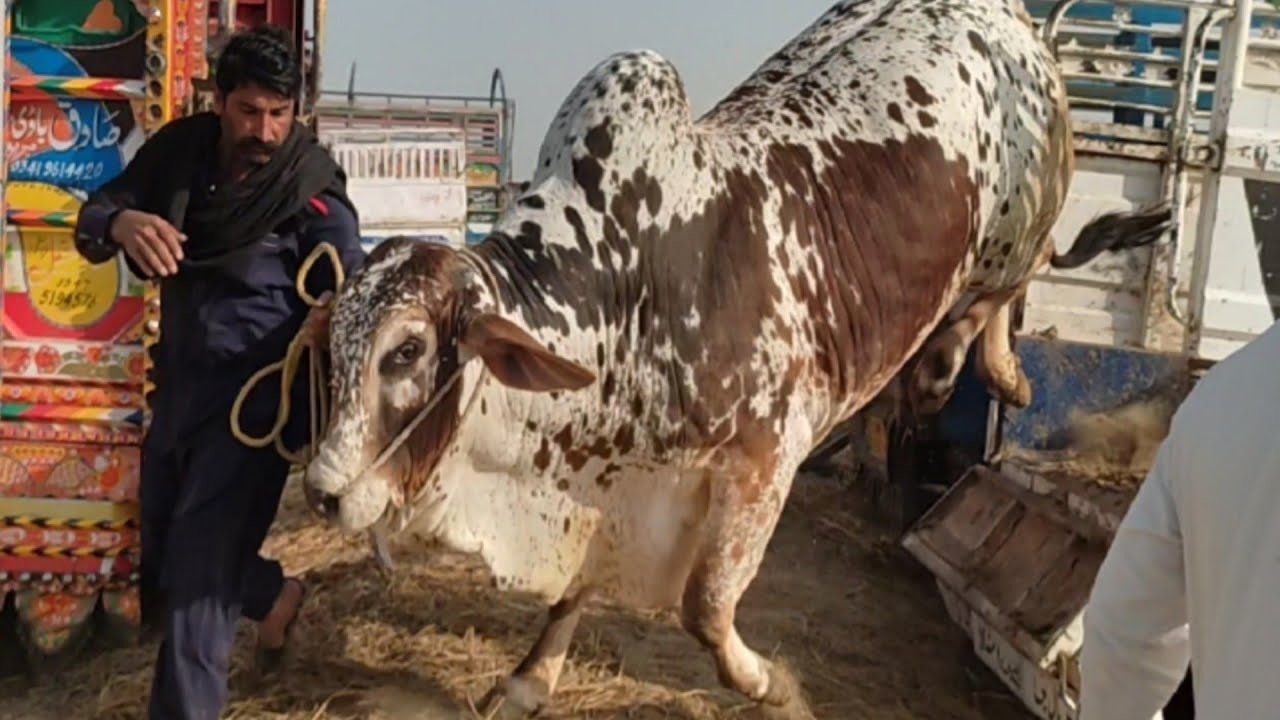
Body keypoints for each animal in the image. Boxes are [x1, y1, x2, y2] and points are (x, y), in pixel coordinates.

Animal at [299, 0, 1169, 716]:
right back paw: (992, 374)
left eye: (406, 350)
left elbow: (706, 605)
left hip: (1021, 221)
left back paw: (970, 366)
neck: (630, 296)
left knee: (1010, 284)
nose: (321, 492)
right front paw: (528, 680)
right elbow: (580, 587)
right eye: (334, 344)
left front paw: (774, 685)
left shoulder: (764, 459)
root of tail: (1009, 16)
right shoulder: (614, 481)